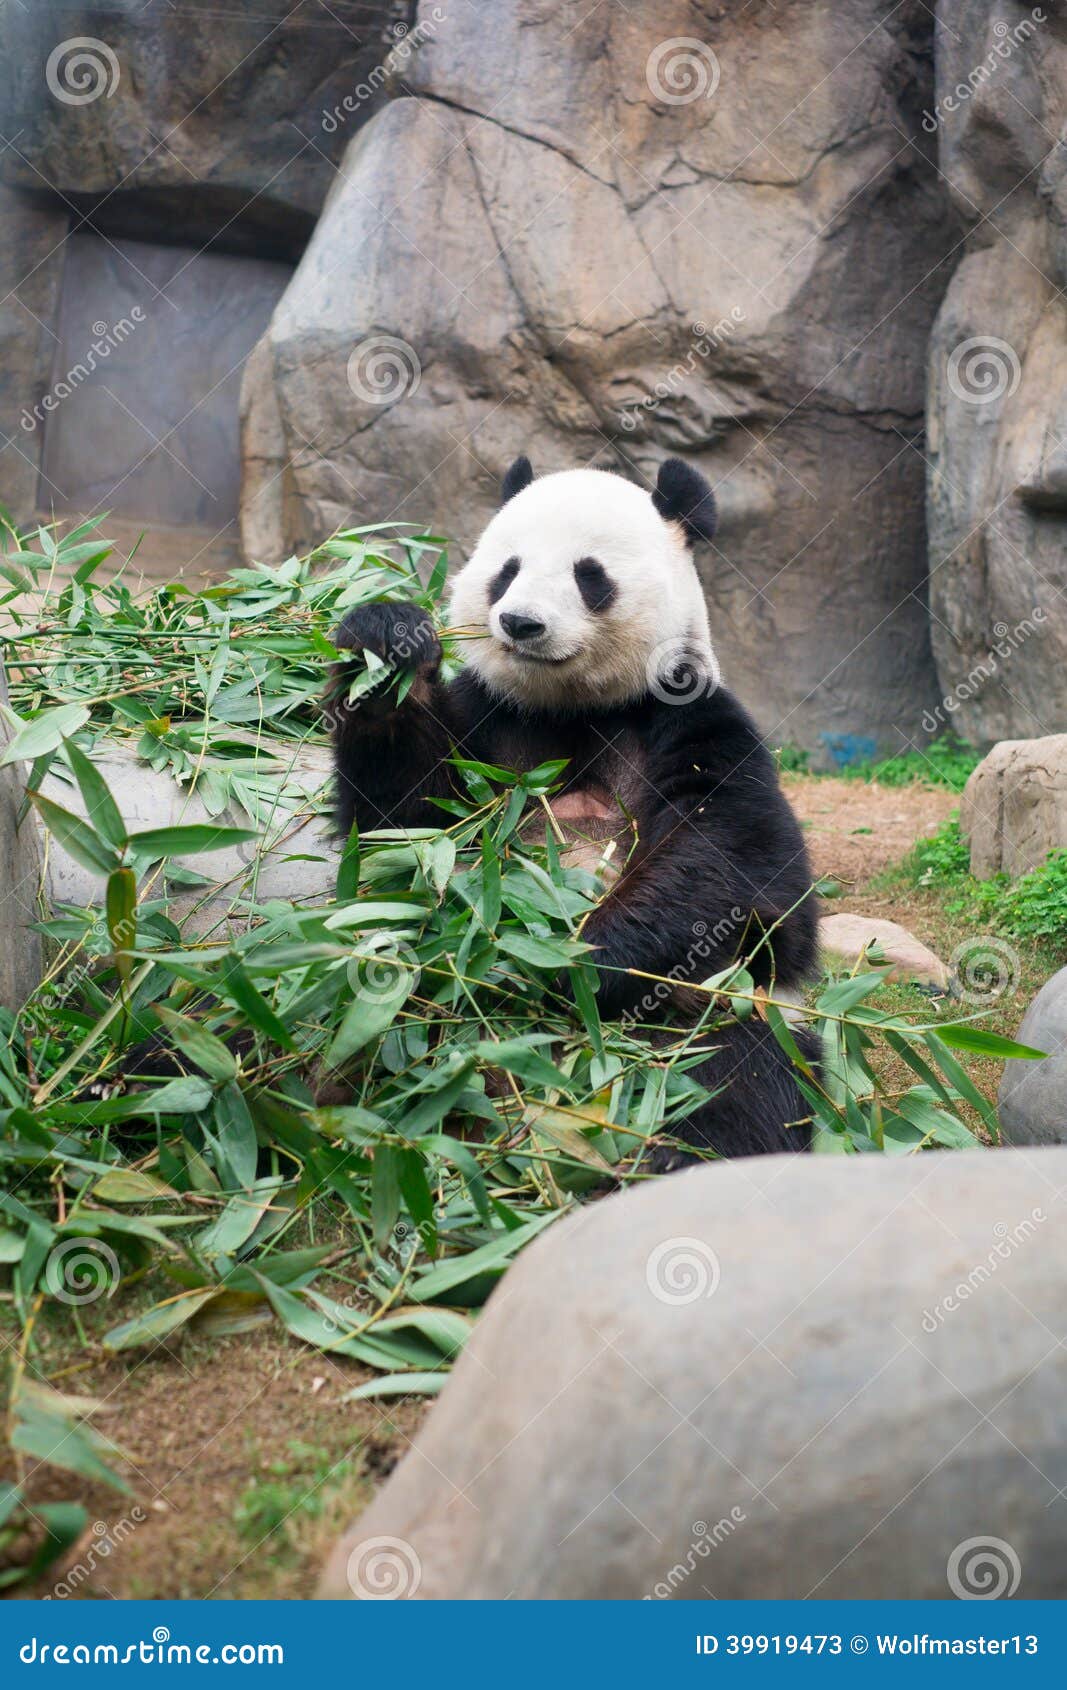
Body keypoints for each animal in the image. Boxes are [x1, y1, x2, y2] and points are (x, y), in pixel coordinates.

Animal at [328, 456, 819, 1164]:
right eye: (507, 569)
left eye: (590, 576)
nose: (520, 623)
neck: (573, 706)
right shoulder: (489, 720)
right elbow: (405, 831)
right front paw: (384, 641)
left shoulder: (689, 718)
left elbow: (733, 864)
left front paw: (561, 959)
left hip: (722, 1023)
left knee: (733, 1090)